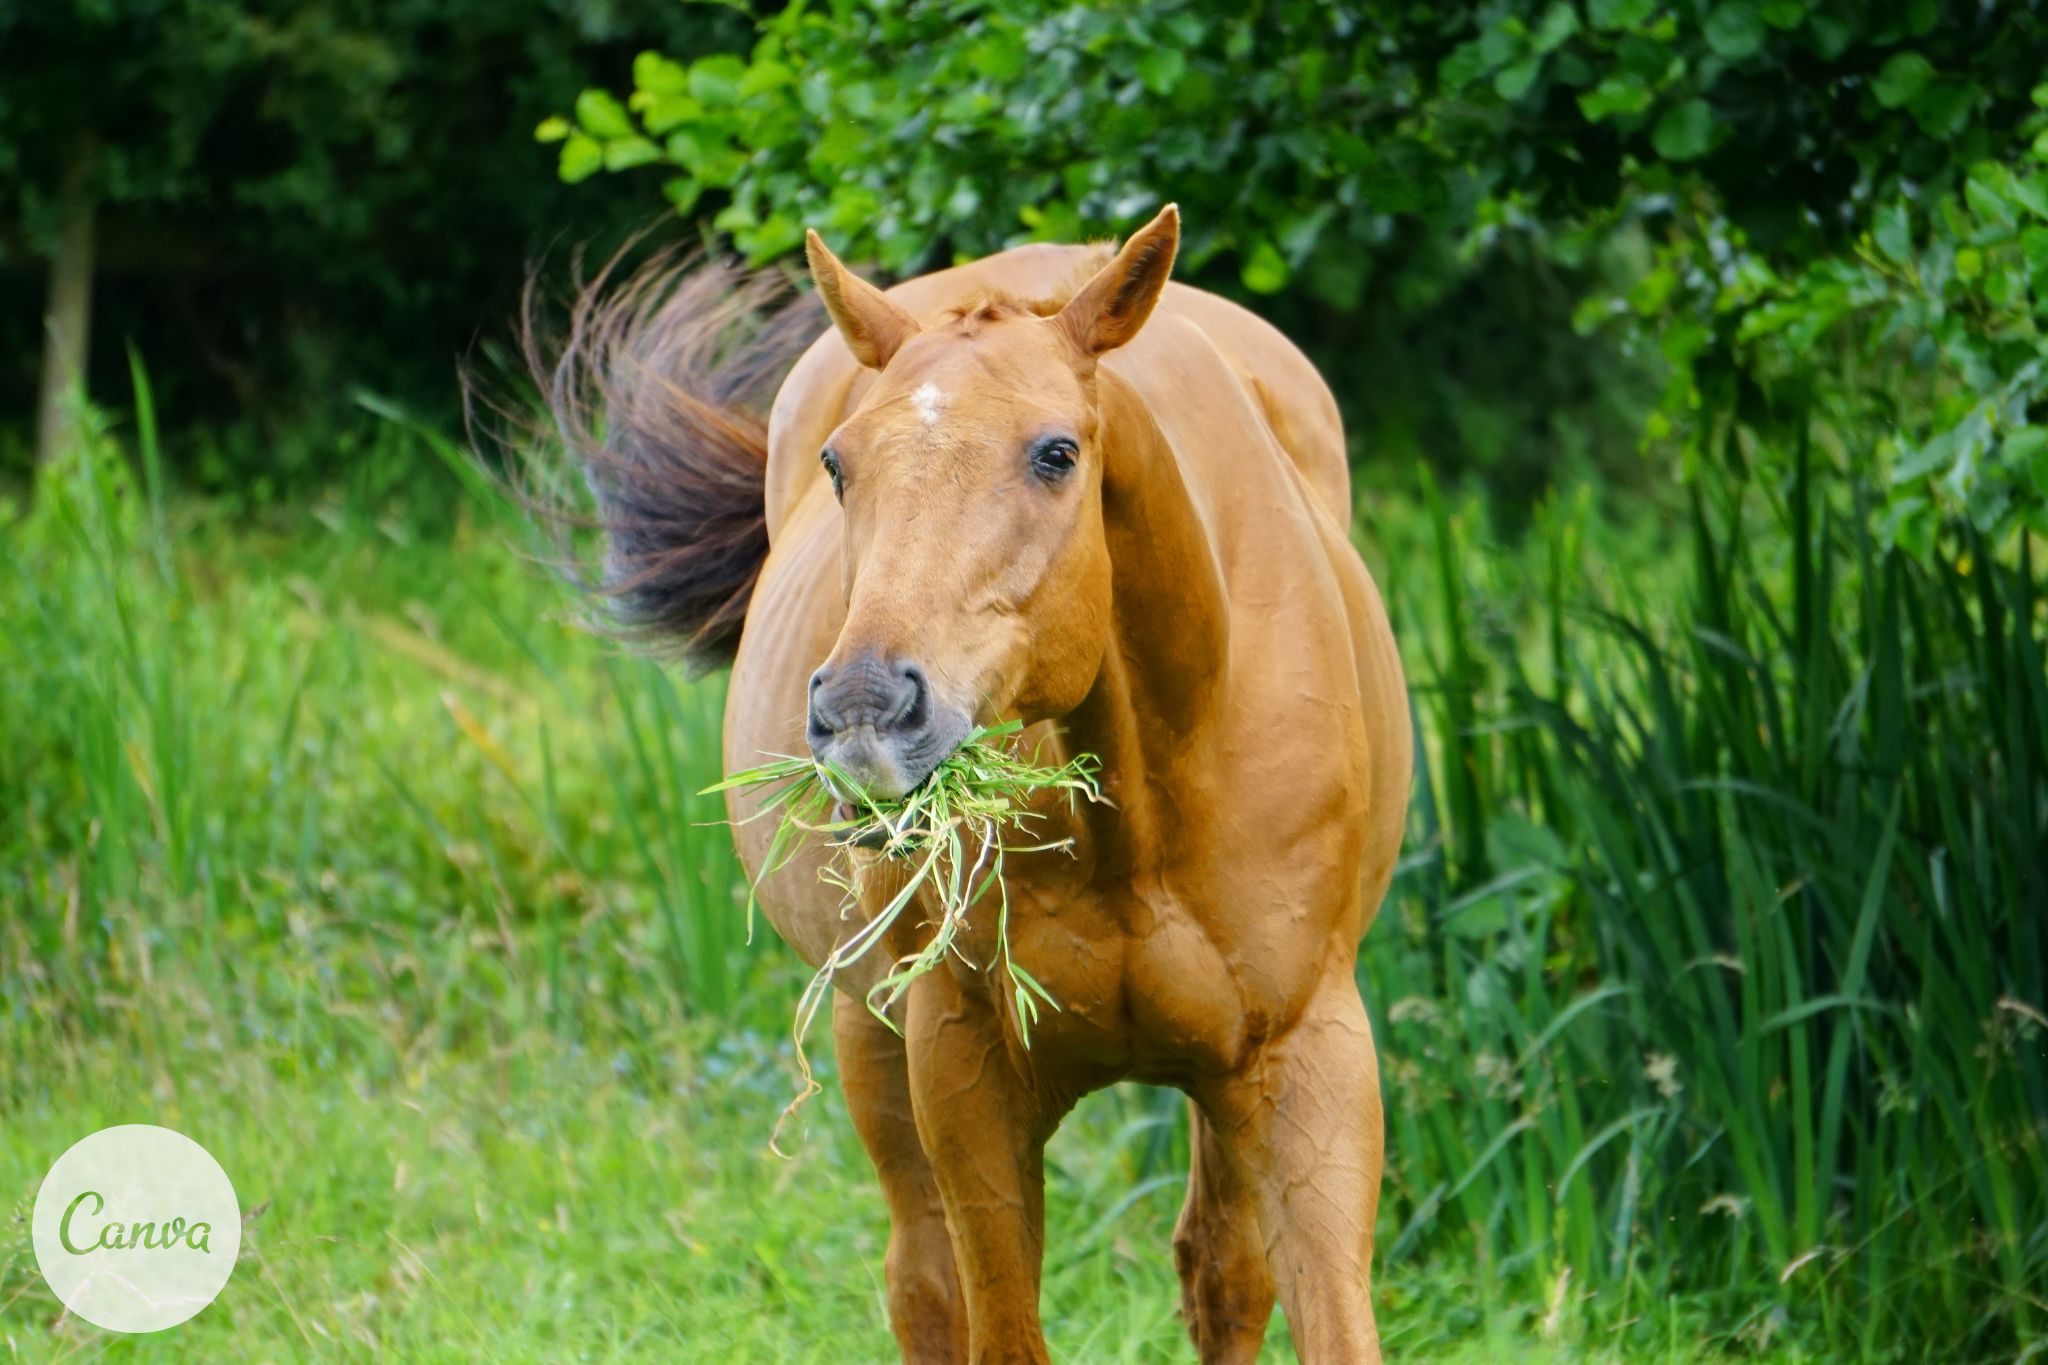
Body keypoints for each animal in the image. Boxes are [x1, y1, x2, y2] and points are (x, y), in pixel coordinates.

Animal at [549, 205, 1412, 1363]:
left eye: (1056, 453)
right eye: (839, 464)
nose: (865, 709)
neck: (1142, 805)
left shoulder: (1304, 1062)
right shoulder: (965, 1072)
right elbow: (994, 1321)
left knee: (1221, 1274)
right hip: (869, 1036)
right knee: (921, 1284)